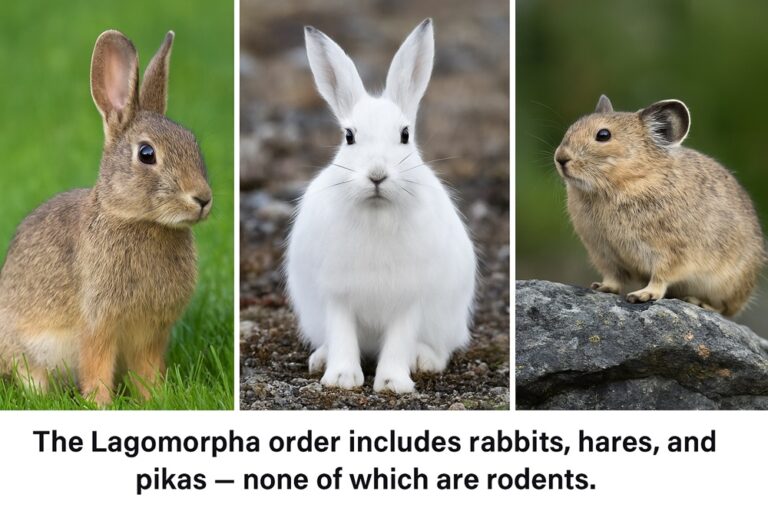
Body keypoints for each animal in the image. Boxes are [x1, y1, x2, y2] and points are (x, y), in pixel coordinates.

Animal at [0, 30, 212, 406]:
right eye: (146, 154)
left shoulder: (150, 332)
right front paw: (100, 404)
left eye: (192, 143)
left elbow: (147, 370)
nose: (202, 199)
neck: (138, 221)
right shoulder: (98, 323)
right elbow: (96, 366)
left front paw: (155, 399)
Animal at [285, 19, 477, 394]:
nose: (377, 175)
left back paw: (424, 361)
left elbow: (399, 339)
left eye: (405, 134)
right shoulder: (337, 294)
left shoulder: (409, 298)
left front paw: (392, 384)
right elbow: (343, 333)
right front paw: (341, 379)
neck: (377, 211)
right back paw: (320, 359)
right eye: (349, 136)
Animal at [554, 95, 766, 316]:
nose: (560, 158)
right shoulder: (604, 253)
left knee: (724, 308)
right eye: (572, 127)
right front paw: (602, 287)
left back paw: (699, 302)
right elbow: (613, 278)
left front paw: (643, 295)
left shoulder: (671, 252)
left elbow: (660, 277)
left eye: (603, 135)